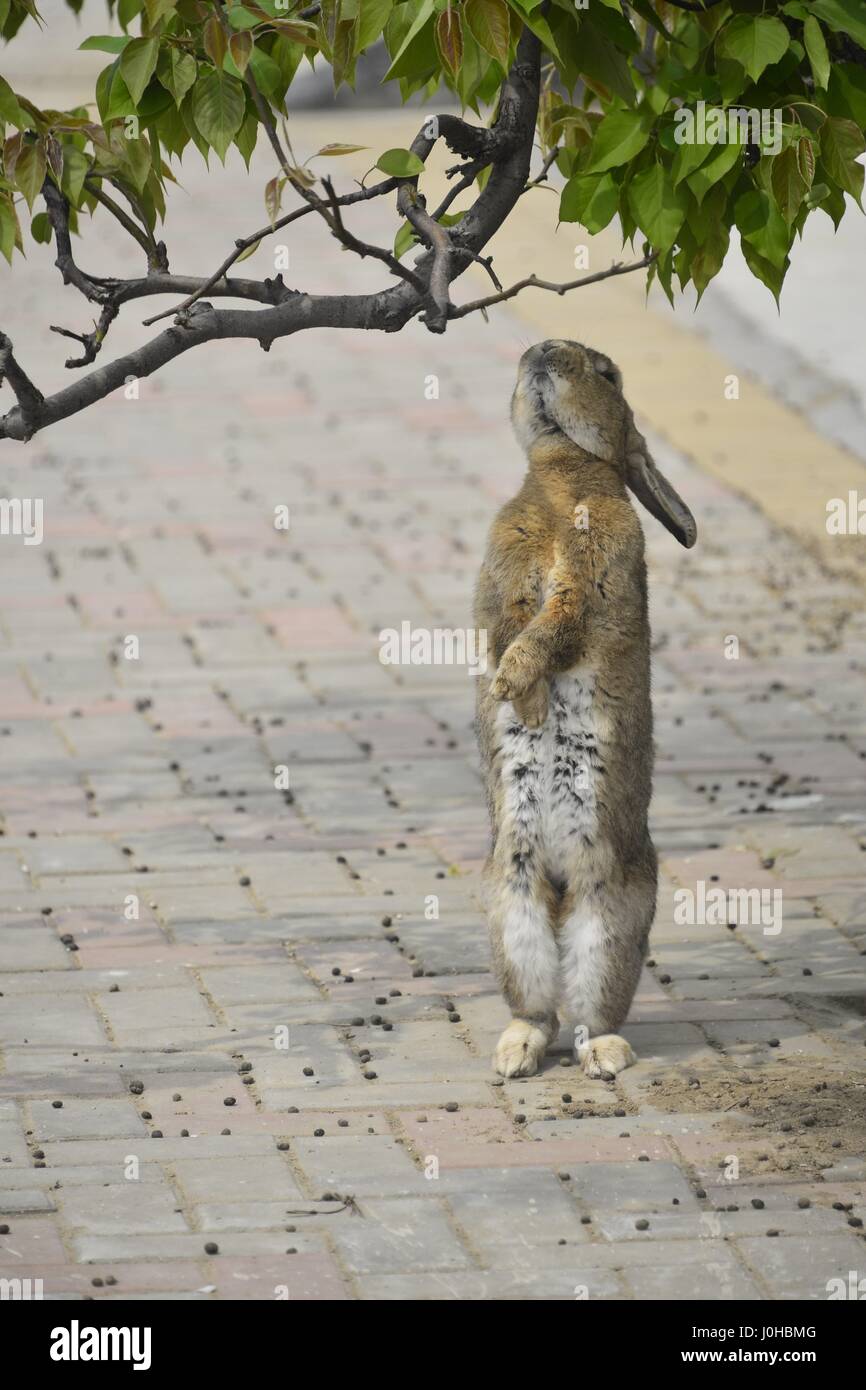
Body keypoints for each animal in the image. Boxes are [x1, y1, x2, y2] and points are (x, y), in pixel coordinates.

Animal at [474, 339, 696, 1080]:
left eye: (608, 374)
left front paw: (520, 692)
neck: (560, 475)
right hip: (511, 900)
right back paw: (514, 1055)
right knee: (540, 1007)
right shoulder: (502, 583)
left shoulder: (587, 578)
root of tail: (563, 884)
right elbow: (505, 627)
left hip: (612, 911)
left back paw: (605, 1055)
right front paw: (519, 699)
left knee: (591, 1006)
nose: (543, 350)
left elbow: (550, 629)